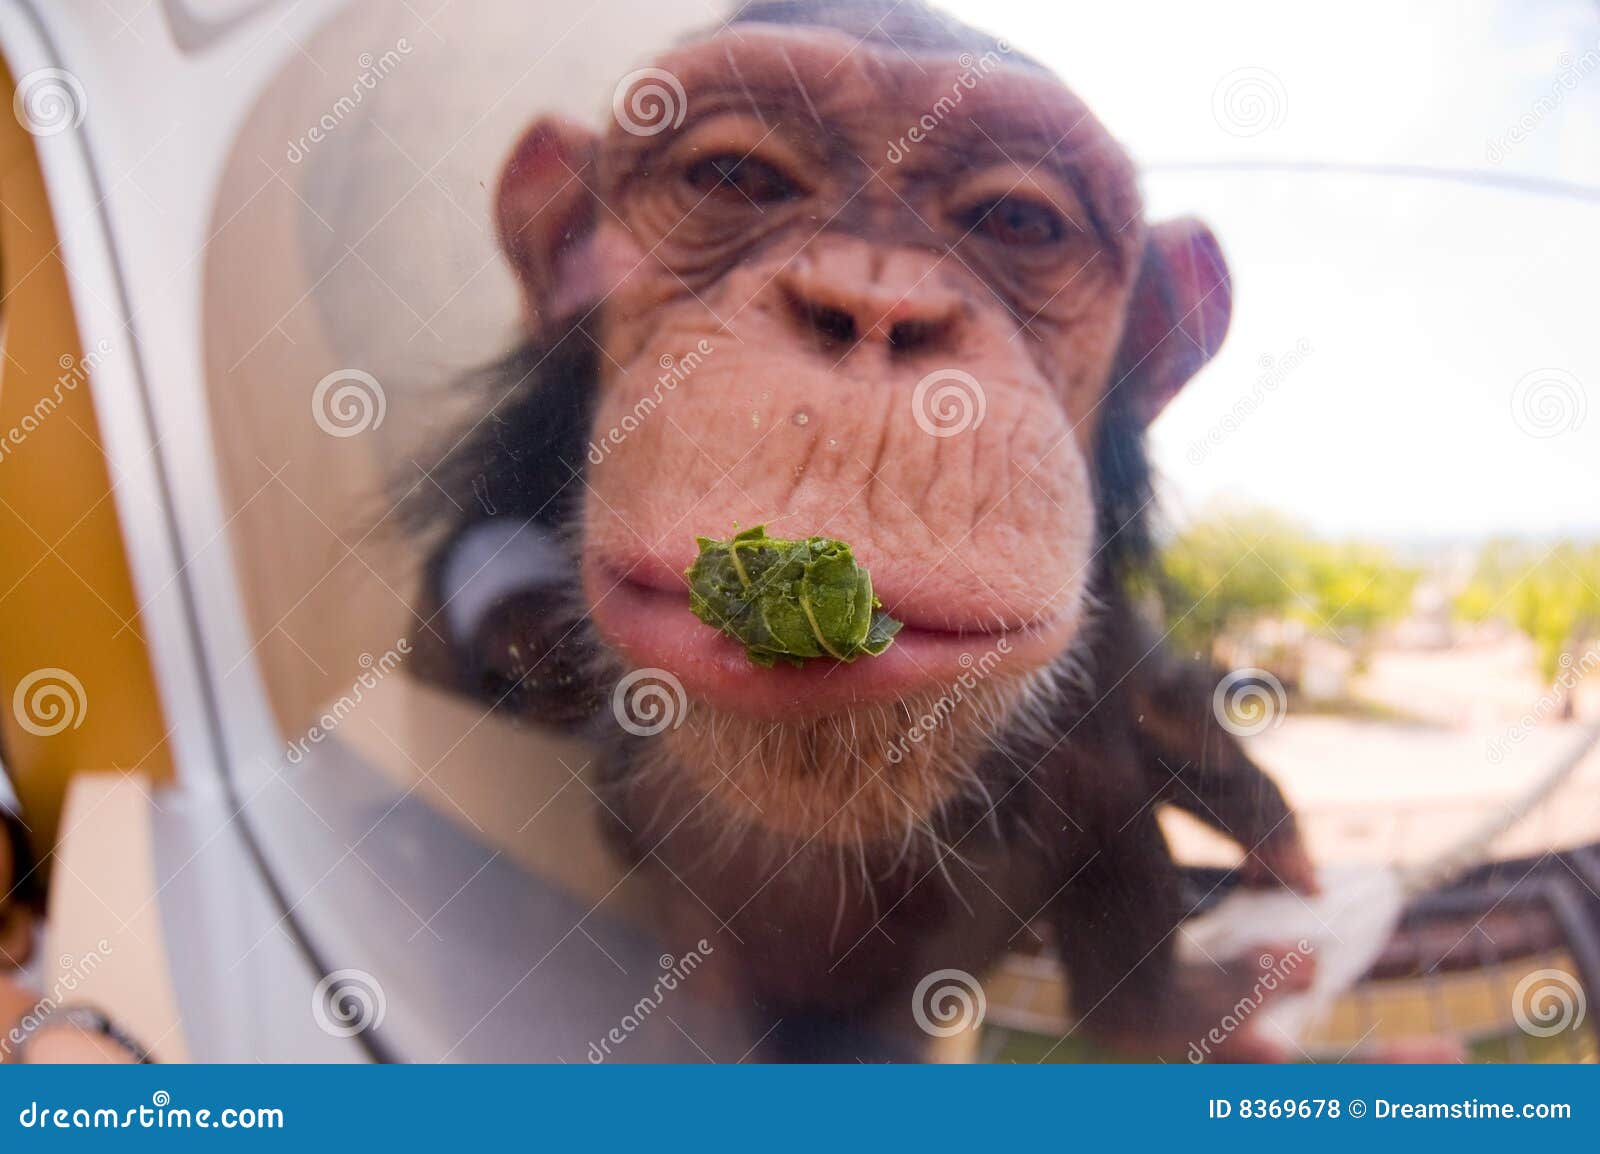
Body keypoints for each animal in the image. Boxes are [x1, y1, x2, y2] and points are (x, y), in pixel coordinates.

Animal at [402, 0, 1325, 1061]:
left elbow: (1138, 709)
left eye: (1020, 222)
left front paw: (1255, 822)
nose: (875, 307)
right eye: (736, 178)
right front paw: (528, 637)